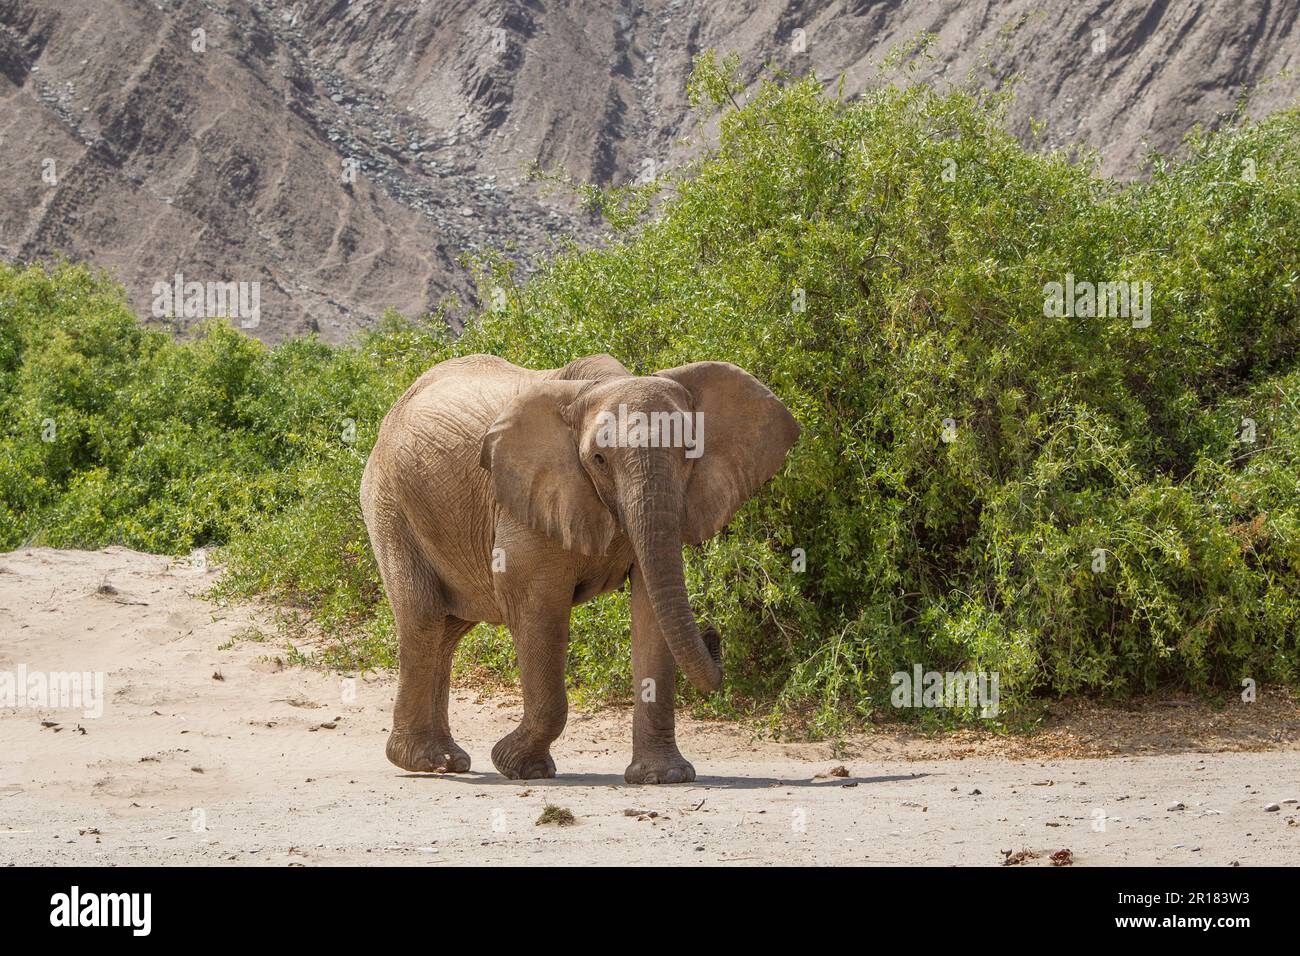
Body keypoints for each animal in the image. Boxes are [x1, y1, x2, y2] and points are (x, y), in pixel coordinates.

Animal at [359, 352, 799, 783]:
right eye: (599, 459)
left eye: (690, 450)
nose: (713, 635)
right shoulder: (529, 498)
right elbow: (536, 603)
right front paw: (519, 766)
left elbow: (651, 609)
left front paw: (665, 777)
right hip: (389, 502)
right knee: (424, 617)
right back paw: (426, 762)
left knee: (448, 628)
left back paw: (443, 761)